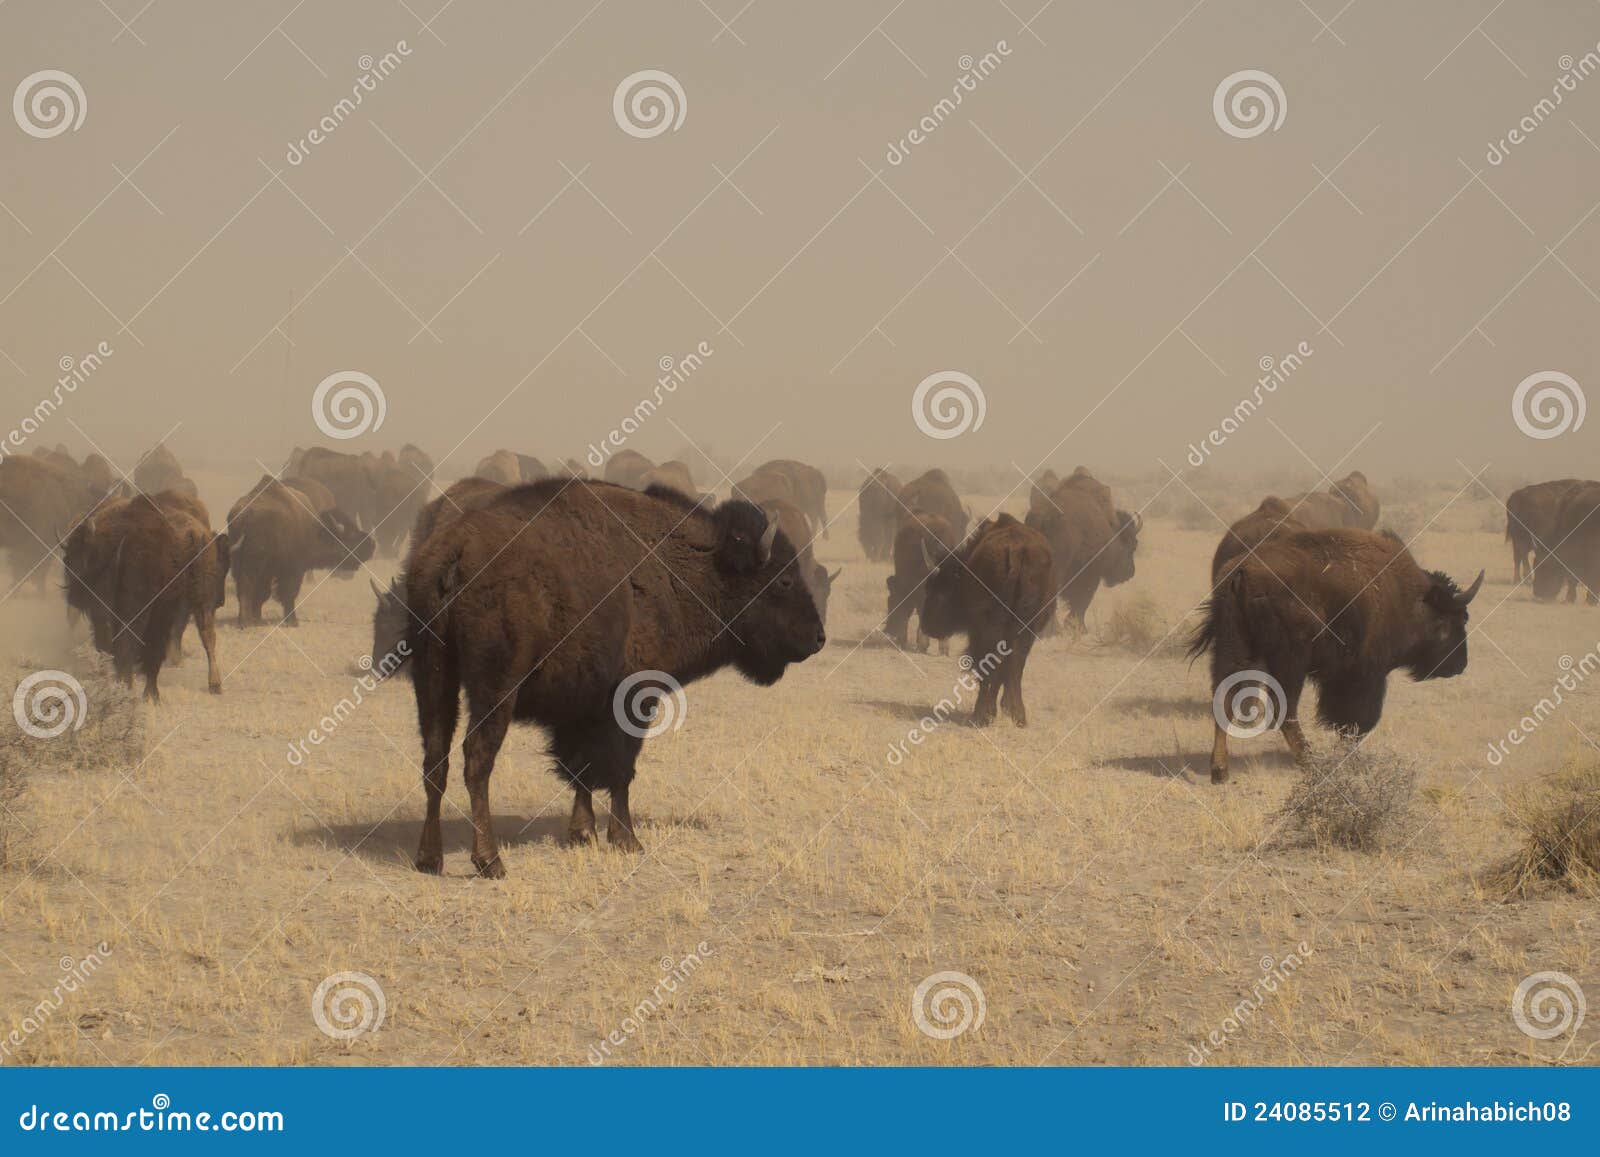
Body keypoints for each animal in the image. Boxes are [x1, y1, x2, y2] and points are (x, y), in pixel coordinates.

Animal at [404, 478, 825, 874]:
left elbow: (581, 768)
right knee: (477, 759)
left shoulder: (584, 707)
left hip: (432, 674)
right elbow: (621, 767)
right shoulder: (635, 696)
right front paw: (627, 839)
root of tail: (457, 550)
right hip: (496, 687)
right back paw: (490, 861)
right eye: (784, 580)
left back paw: (429, 858)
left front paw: (583, 833)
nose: (818, 637)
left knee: (435, 760)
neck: (689, 566)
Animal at [917, 514, 1056, 726]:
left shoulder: (978, 631)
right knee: (1016, 664)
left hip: (992, 627)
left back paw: (980, 715)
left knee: (991, 664)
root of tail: (1017, 552)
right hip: (1026, 627)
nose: (927, 625)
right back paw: (1018, 716)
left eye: (936, 589)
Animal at [1190, 528, 1482, 783]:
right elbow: (1356, 722)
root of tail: (1242, 574)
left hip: (1233, 653)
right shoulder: (1365, 676)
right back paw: (1309, 763)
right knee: (1284, 711)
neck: (1409, 597)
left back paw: (1220, 771)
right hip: (1290, 663)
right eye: (1458, 619)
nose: (1460, 665)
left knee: (1225, 701)